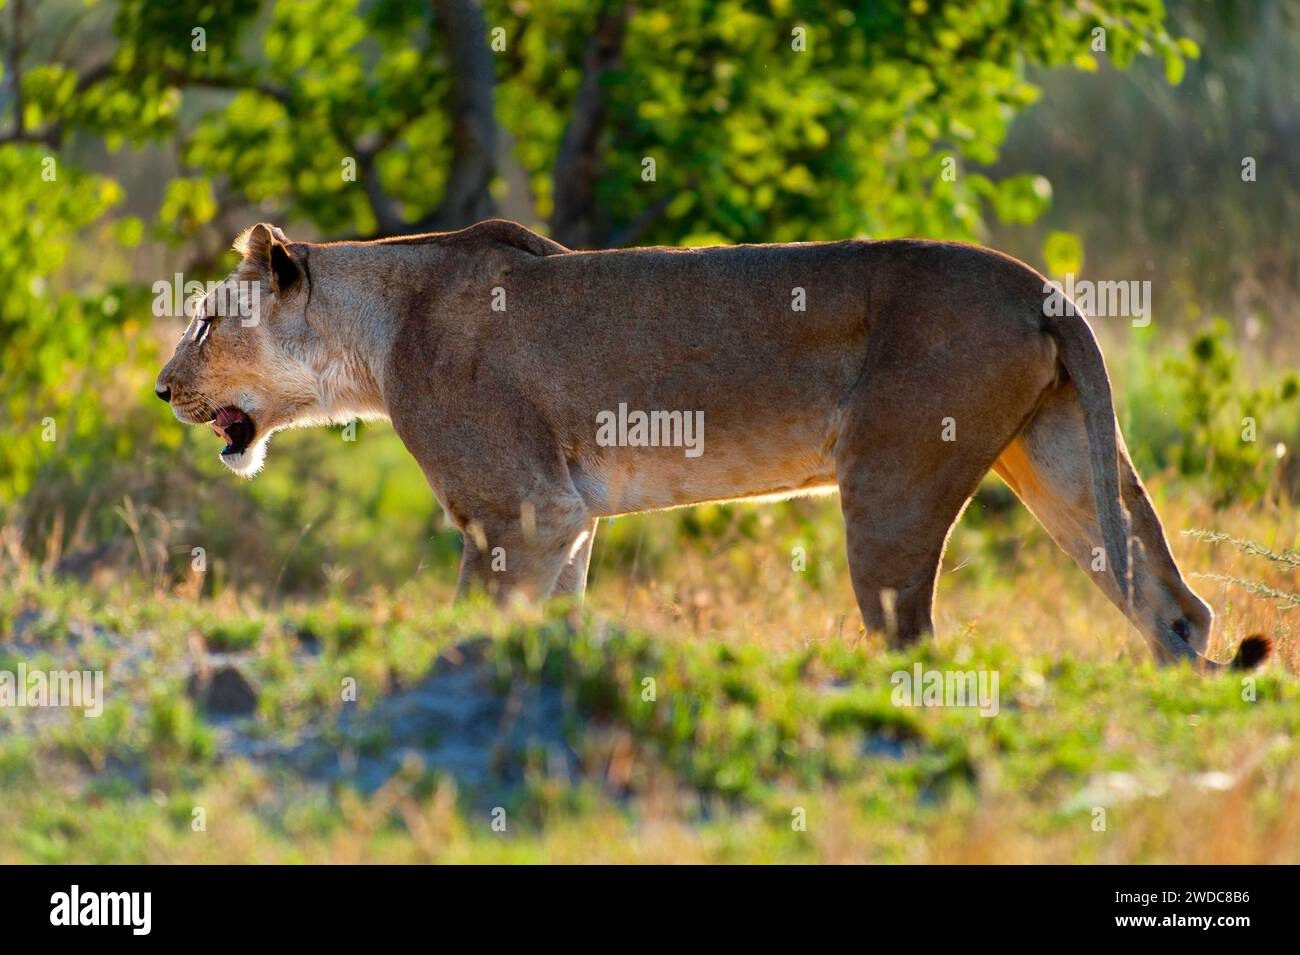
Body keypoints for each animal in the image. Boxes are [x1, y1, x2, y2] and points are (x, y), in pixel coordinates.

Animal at [156, 219, 1270, 670]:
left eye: (205, 321)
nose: (164, 389)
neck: (377, 325)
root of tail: (1041, 286)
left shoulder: (518, 509)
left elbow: (477, 616)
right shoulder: (566, 518)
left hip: (891, 485)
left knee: (910, 633)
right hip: (1064, 462)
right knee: (1176, 606)